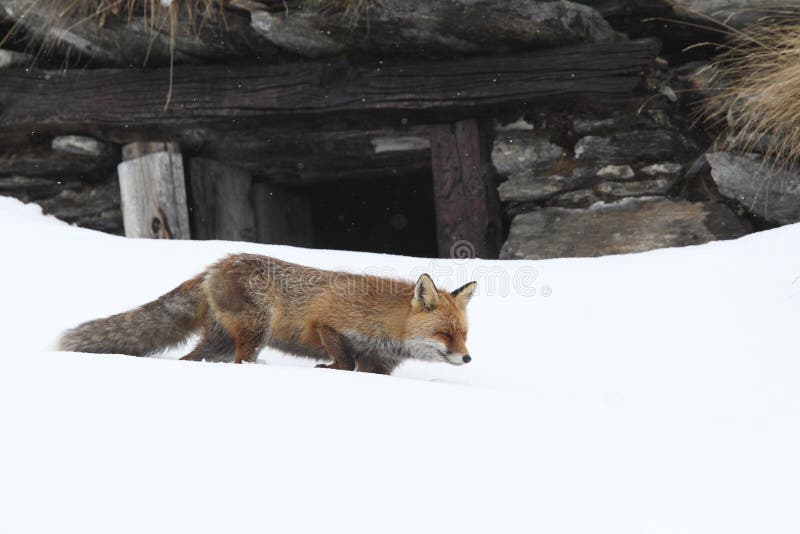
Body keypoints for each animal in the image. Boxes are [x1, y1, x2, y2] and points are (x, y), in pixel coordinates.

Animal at [58, 254, 477, 375]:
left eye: (464, 334)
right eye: (445, 334)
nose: (467, 358)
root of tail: (215, 265)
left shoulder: (378, 365)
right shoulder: (328, 325)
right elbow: (342, 362)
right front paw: (327, 371)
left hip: (218, 344)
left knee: (191, 359)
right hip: (255, 330)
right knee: (243, 360)